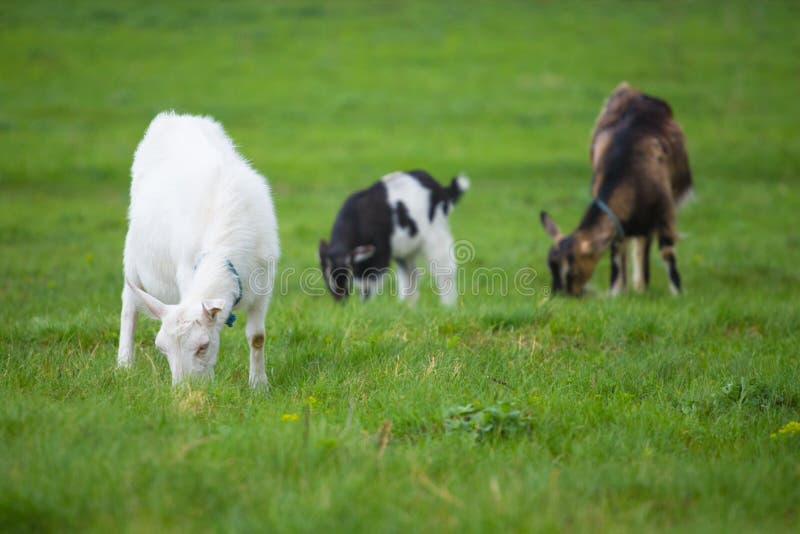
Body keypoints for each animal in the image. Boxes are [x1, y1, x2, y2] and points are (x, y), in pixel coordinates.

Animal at [117, 112, 280, 387]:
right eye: (162, 349)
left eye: (203, 346)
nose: (184, 390)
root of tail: (175, 117)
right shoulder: (185, 270)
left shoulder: (264, 284)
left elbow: (257, 337)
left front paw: (259, 385)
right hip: (132, 254)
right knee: (129, 306)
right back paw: (124, 365)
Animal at [319, 170, 469, 305]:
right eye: (326, 275)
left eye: (347, 272)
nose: (340, 301)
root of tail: (438, 187)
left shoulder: (380, 253)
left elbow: (367, 284)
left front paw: (366, 307)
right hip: (406, 249)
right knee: (410, 275)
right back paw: (407, 307)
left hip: (437, 233)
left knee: (445, 269)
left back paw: (447, 306)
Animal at [540, 83, 693, 296]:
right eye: (550, 266)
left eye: (570, 270)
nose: (561, 296)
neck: (629, 167)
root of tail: (632, 89)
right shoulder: (618, 220)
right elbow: (616, 254)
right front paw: (615, 292)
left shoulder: (664, 209)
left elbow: (666, 252)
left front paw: (678, 293)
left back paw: (641, 286)